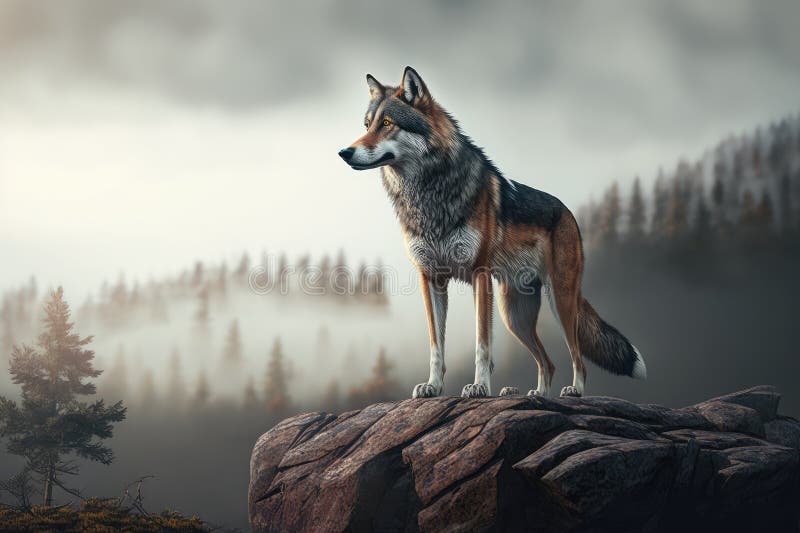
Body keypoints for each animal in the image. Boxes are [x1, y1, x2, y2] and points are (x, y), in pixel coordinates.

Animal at [338, 67, 646, 398]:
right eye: (367, 125)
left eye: (387, 124)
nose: (344, 152)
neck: (429, 195)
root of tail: (568, 212)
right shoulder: (431, 278)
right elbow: (436, 345)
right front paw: (433, 386)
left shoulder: (479, 275)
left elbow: (482, 344)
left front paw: (479, 387)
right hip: (515, 317)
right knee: (548, 362)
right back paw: (537, 394)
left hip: (560, 302)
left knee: (578, 357)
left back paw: (573, 391)